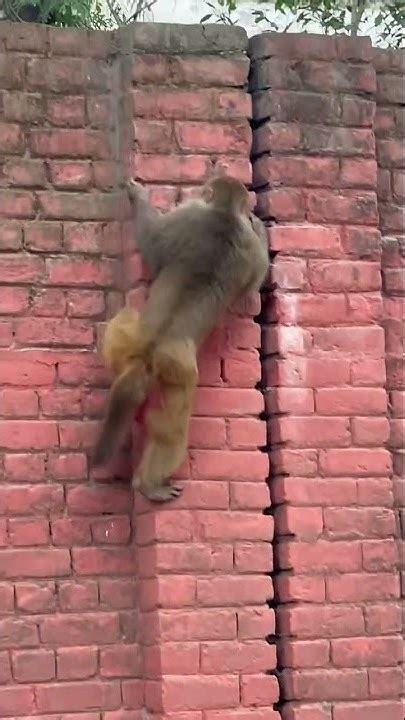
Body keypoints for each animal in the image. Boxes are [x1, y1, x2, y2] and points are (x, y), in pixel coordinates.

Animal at [93, 175, 269, 502]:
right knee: (171, 426)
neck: (224, 212)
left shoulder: (191, 215)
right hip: (158, 355)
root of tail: (152, 347)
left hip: (145, 346)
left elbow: (152, 242)